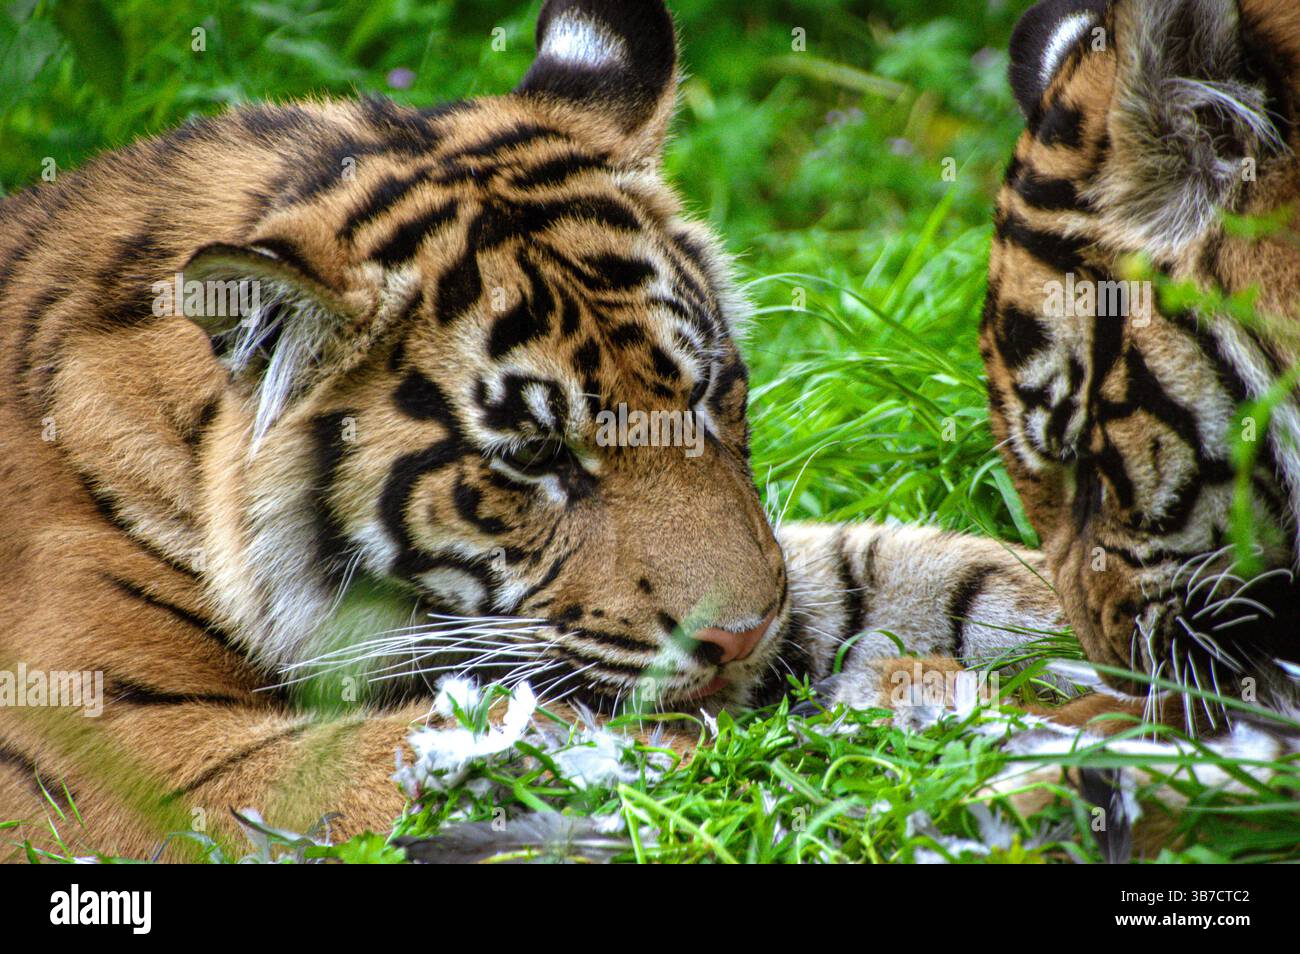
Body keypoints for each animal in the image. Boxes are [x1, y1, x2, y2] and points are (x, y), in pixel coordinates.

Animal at [0, 0, 1062, 860]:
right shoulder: (159, 759)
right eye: (538, 455)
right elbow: (670, 750)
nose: (742, 638)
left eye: (710, 390)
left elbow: (883, 566)